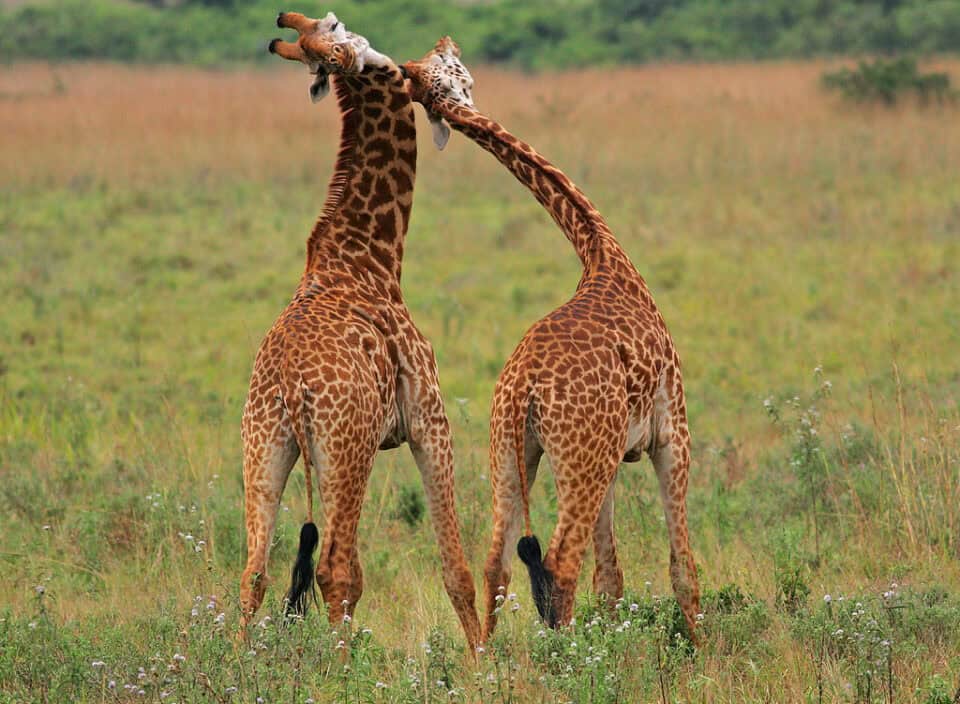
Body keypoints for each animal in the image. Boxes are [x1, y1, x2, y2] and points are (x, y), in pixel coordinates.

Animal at [239, 14, 480, 649]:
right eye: (340, 26)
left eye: (324, 27)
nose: (443, 44)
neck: (371, 257)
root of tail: (291, 386)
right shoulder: (429, 418)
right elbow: (458, 568)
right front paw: (485, 661)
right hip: (345, 450)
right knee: (335, 570)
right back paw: (342, 665)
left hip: (263, 446)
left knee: (254, 573)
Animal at [402, 39, 701, 642]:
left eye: (441, 71)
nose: (450, 45)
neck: (599, 249)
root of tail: (523, 390)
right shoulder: (671, 434)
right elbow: (682, 566)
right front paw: (706, 650)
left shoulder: (612, 454)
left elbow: (611, 580)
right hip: (575, 457)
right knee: (560, 563)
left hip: (514, 451)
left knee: (496, 561)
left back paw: (492, 658)